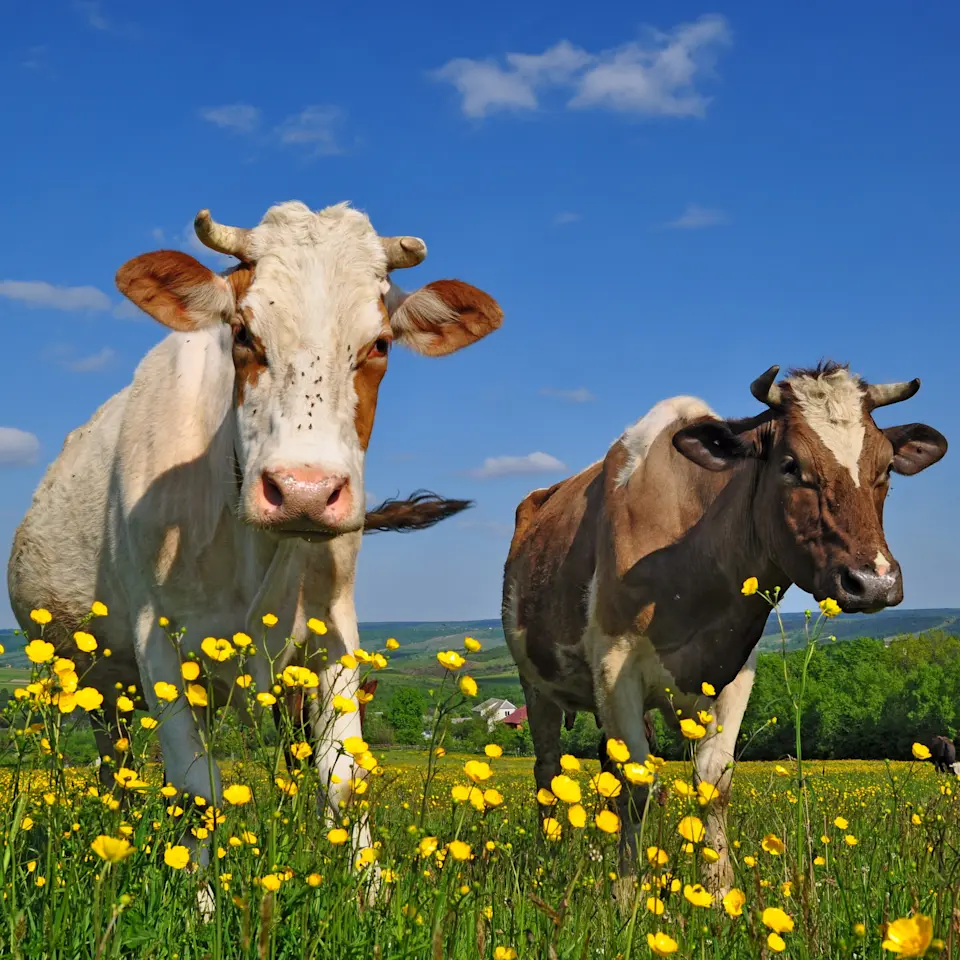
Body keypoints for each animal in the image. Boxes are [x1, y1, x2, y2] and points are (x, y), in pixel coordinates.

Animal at [8, 200, 503, 869]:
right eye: (242, 334)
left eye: (379, 344)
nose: (304, 490)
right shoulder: (156, 639)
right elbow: (198, 788)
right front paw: (196, 894)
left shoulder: (334, 630)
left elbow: (343, 778)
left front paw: (367, 885)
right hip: (96, 679)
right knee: (117, 768)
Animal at [502, 362, 946, 895]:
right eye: (790, 464)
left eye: (884, 469)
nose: (874, 581)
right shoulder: (613, 665)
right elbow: (636, 787)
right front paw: (625, 896)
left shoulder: (734, 674)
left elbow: (713, 784)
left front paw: (717, 892)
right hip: (536, 684)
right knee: (548, 771)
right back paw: (548, 858)